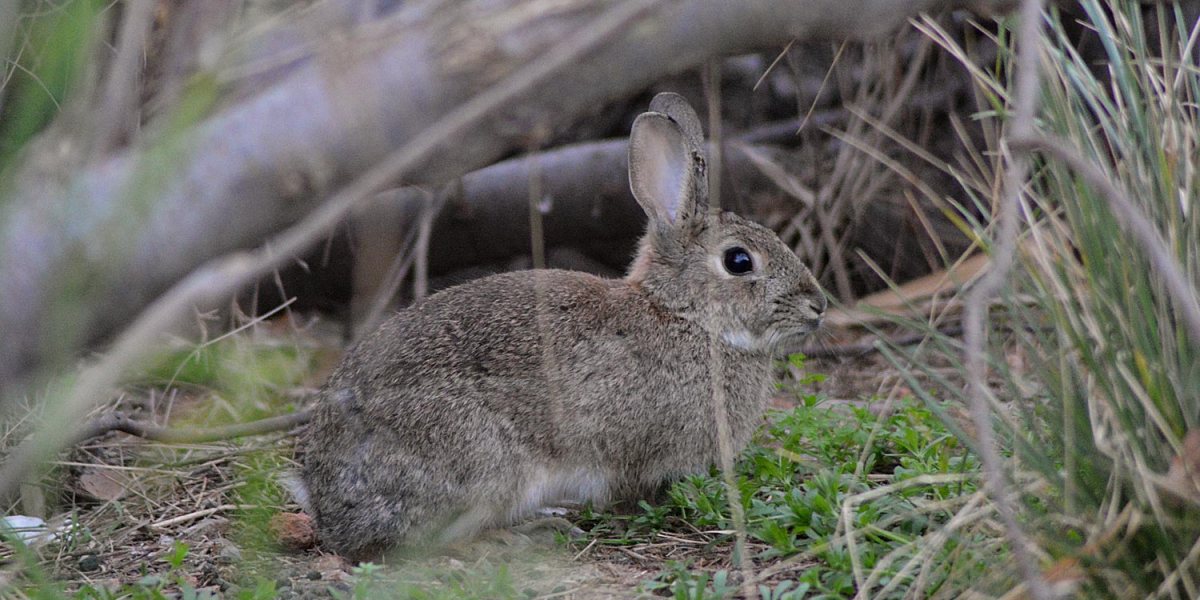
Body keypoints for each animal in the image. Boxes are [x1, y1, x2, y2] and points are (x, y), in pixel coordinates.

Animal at [297, 92, 827, 560]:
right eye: (738, 261)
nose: (818, 305)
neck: (685, 316)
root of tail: (328, 505)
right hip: (479, 464)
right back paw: (518, 535)